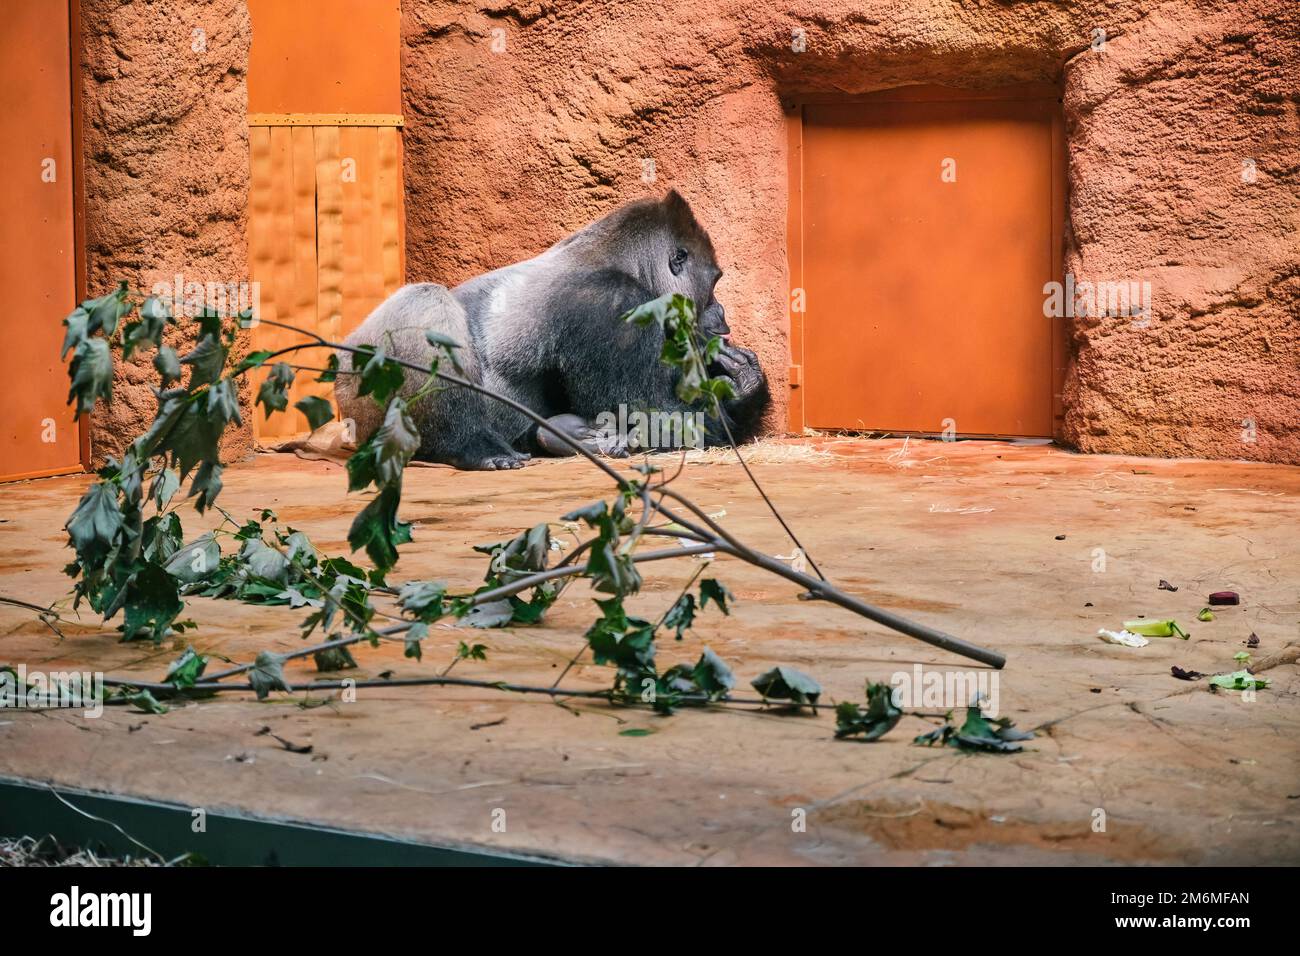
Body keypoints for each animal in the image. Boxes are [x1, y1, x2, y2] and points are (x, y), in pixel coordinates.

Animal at [334, 190, 769, 470]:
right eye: (713, 284)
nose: (722, 314)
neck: (627, 263)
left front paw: (741, 385)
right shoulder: (616, 303)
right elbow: (651, 413)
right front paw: (741, 395)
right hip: (356, 392)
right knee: (425, 300)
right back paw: (471, 446)